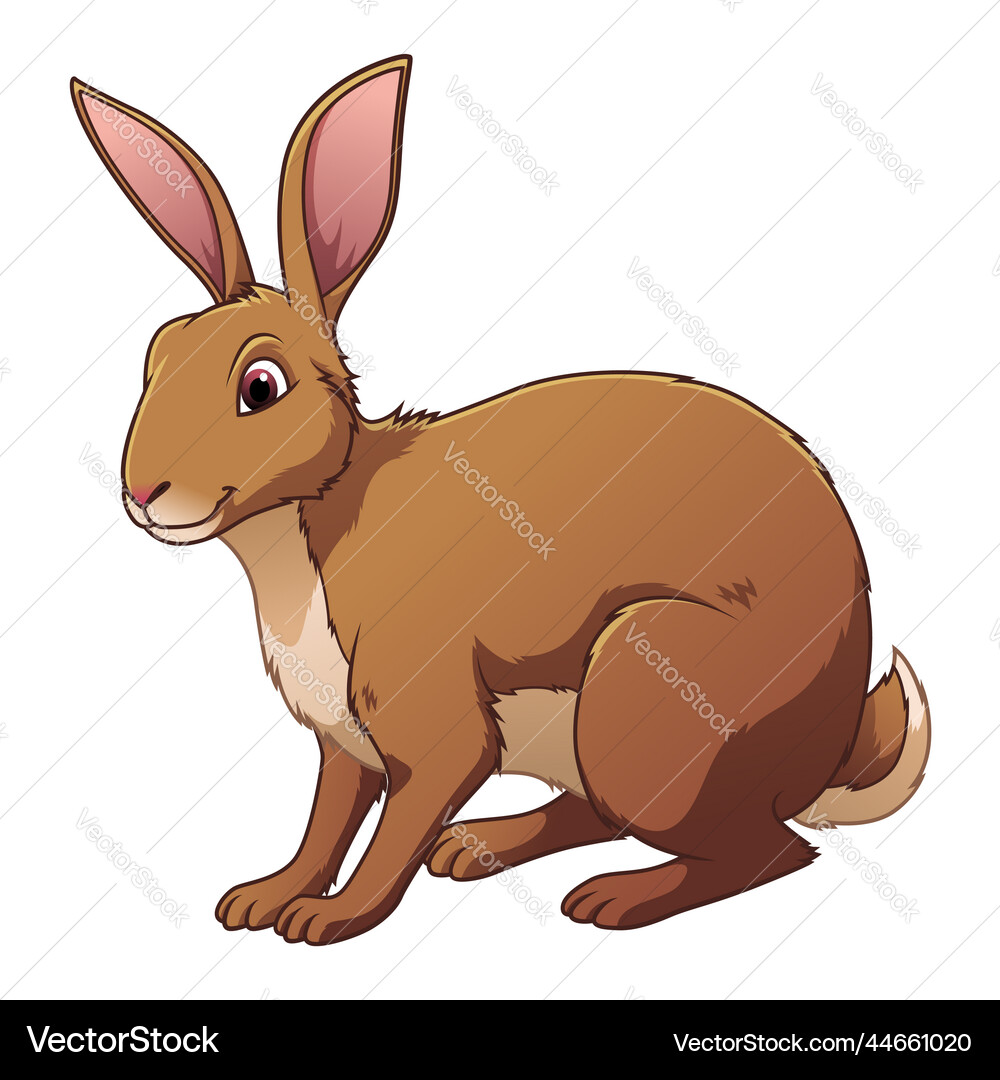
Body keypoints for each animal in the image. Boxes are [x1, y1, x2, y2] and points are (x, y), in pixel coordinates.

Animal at [72, 55, 929, 945]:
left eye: (260, 385)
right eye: (155, 355)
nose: (142, 492)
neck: (319, 518)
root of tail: (828, 749)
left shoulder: (433, 722)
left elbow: (396, 829)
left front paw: (328, 919)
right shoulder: (343, 741)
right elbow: (327, 820)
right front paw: (264, 898)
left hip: (641, 690)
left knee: (772, 852)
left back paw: (613, 900)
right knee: (612, 818)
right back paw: (480, 847)